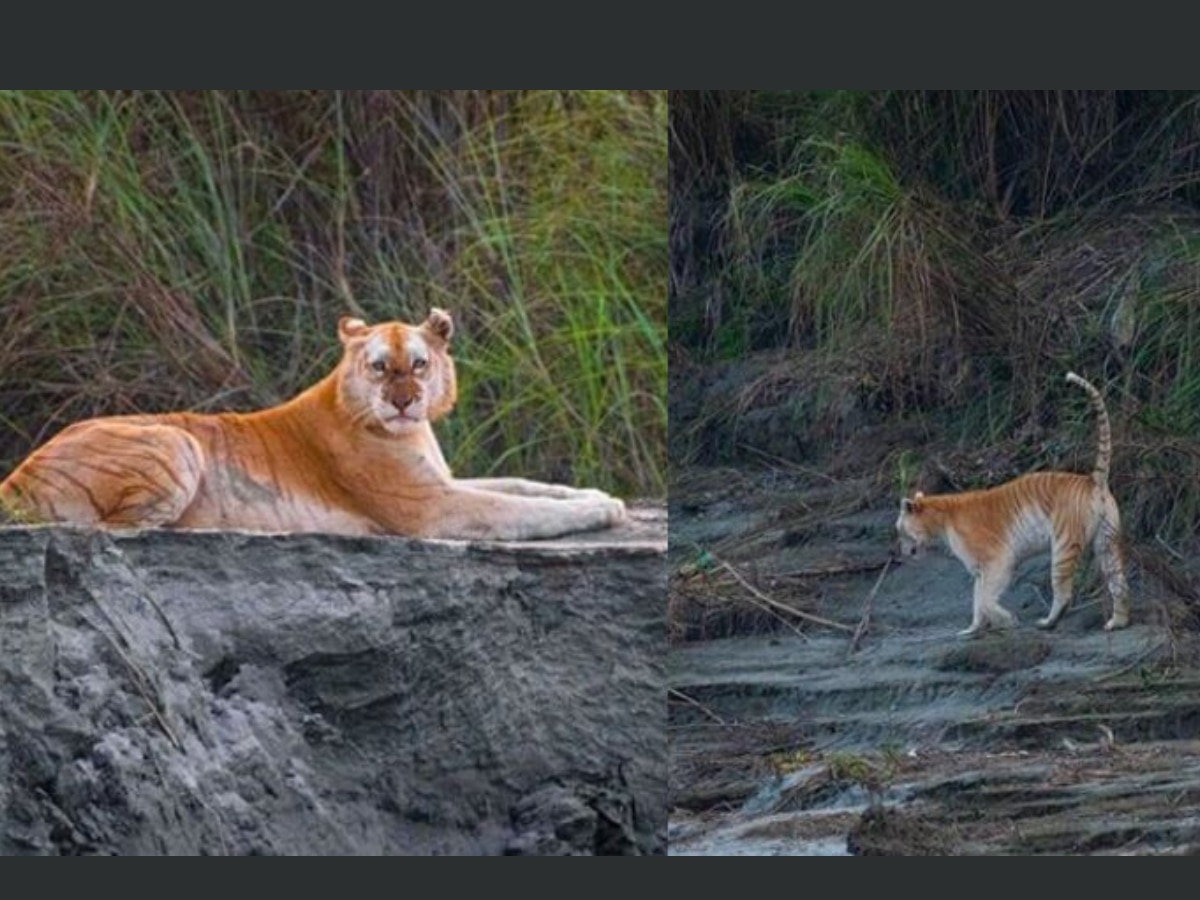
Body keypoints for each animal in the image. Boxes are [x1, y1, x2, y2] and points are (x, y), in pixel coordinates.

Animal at [0, 309, 626, 541]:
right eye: (380, 367)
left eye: (419, 364)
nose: (404, 402)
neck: (407, 431)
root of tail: (15, 476)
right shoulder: (431, 508)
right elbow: (523, 508)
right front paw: (600, 511)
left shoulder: (443, 481)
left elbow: (526, 485)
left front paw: (601, 495)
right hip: (176, 442)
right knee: (119, 530)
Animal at [895, 371, 1131, 637]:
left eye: (900, 530)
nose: (900, 554)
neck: (941, 518)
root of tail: (1093, 479)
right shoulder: (981, 569)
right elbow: (977, 598)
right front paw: (972, 629)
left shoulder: (997, 558)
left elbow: (985, 599)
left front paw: (1007, 621)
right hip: (1107, 541)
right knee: (1119, 582)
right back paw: (1117, 622)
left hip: (1063, 546)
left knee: (1064, 592)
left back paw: (1048, 622)